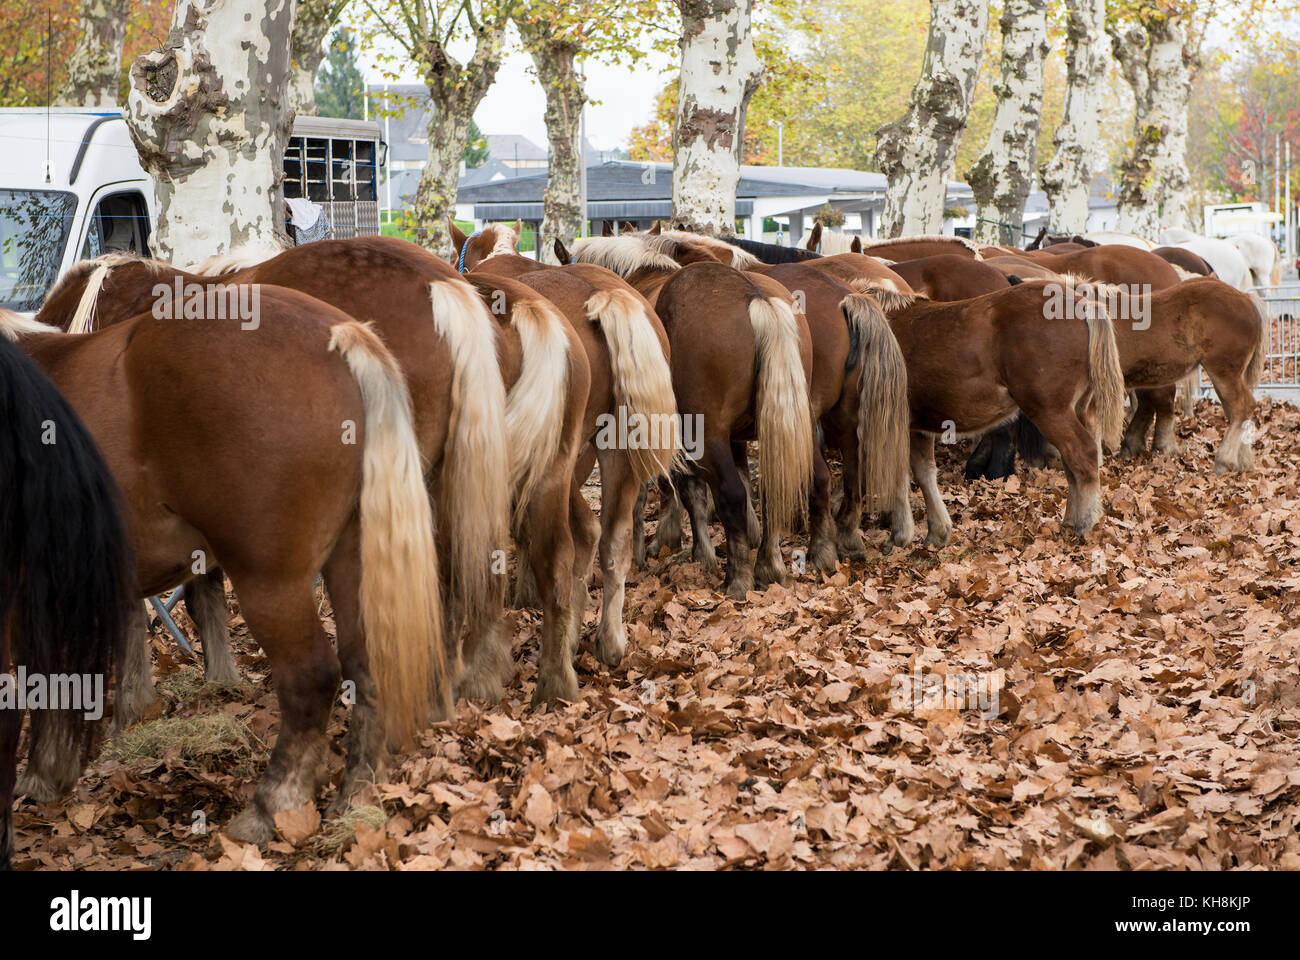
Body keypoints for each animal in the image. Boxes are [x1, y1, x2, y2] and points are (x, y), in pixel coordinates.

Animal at [569, 234, 817, 598]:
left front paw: (694, 552)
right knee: (784, 485)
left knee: (731, 493)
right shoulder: (732, 440)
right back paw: (777, 563)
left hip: (707, 437)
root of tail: (755, 297)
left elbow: (682, 494)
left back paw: (738, 579)